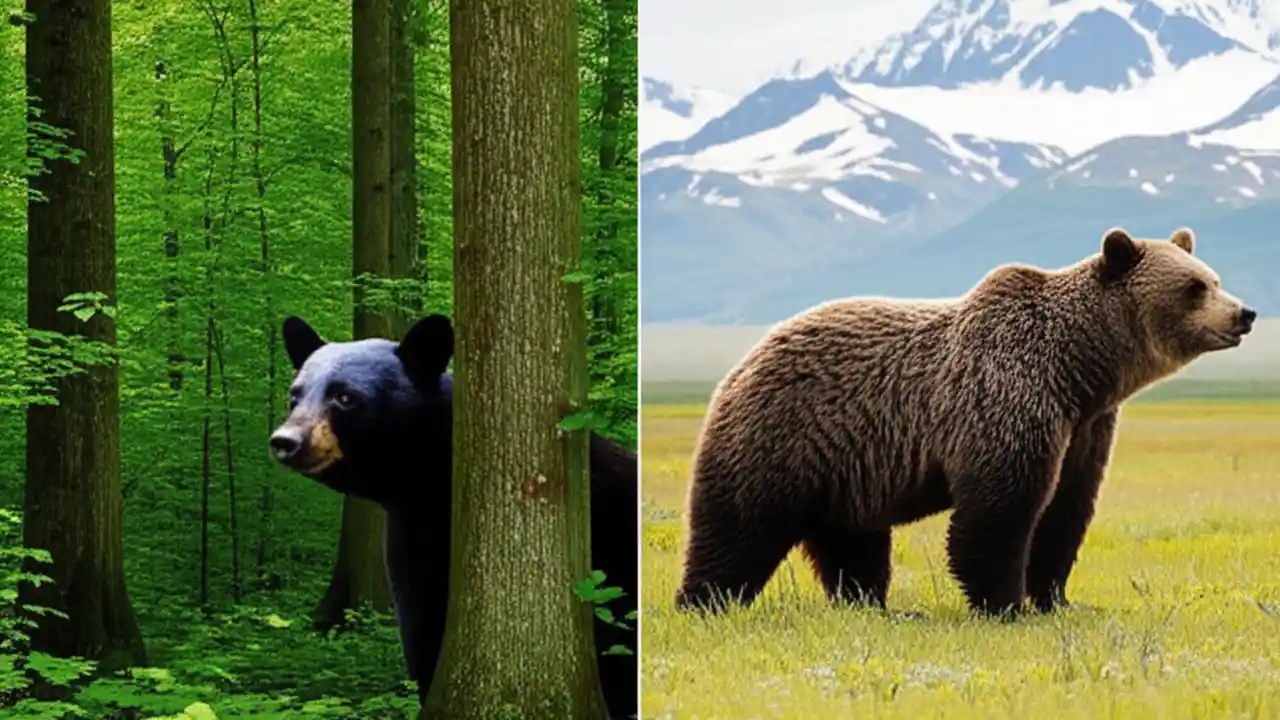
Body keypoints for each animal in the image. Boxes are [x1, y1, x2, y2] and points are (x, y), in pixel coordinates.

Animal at [268, 314, 638, 718]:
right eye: (295, 394)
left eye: (345, 397)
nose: (285, 440)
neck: (431, 486)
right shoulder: (414, 540)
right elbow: (423, 632)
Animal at [675, 227, 1255, 617]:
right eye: (1193, 288)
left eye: (1214, 278)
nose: (1244, 313)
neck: (1079, 368)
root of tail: (742, 363)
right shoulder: (1006, 396)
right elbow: (1001, 509)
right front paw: (1004, 603)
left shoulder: (1086, 428)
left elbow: (1066, 512)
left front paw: (1059, 599)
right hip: (782, 433)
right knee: (738, 528)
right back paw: (704, 601)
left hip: (845, 468)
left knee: (853, 542)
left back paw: (876, 606)